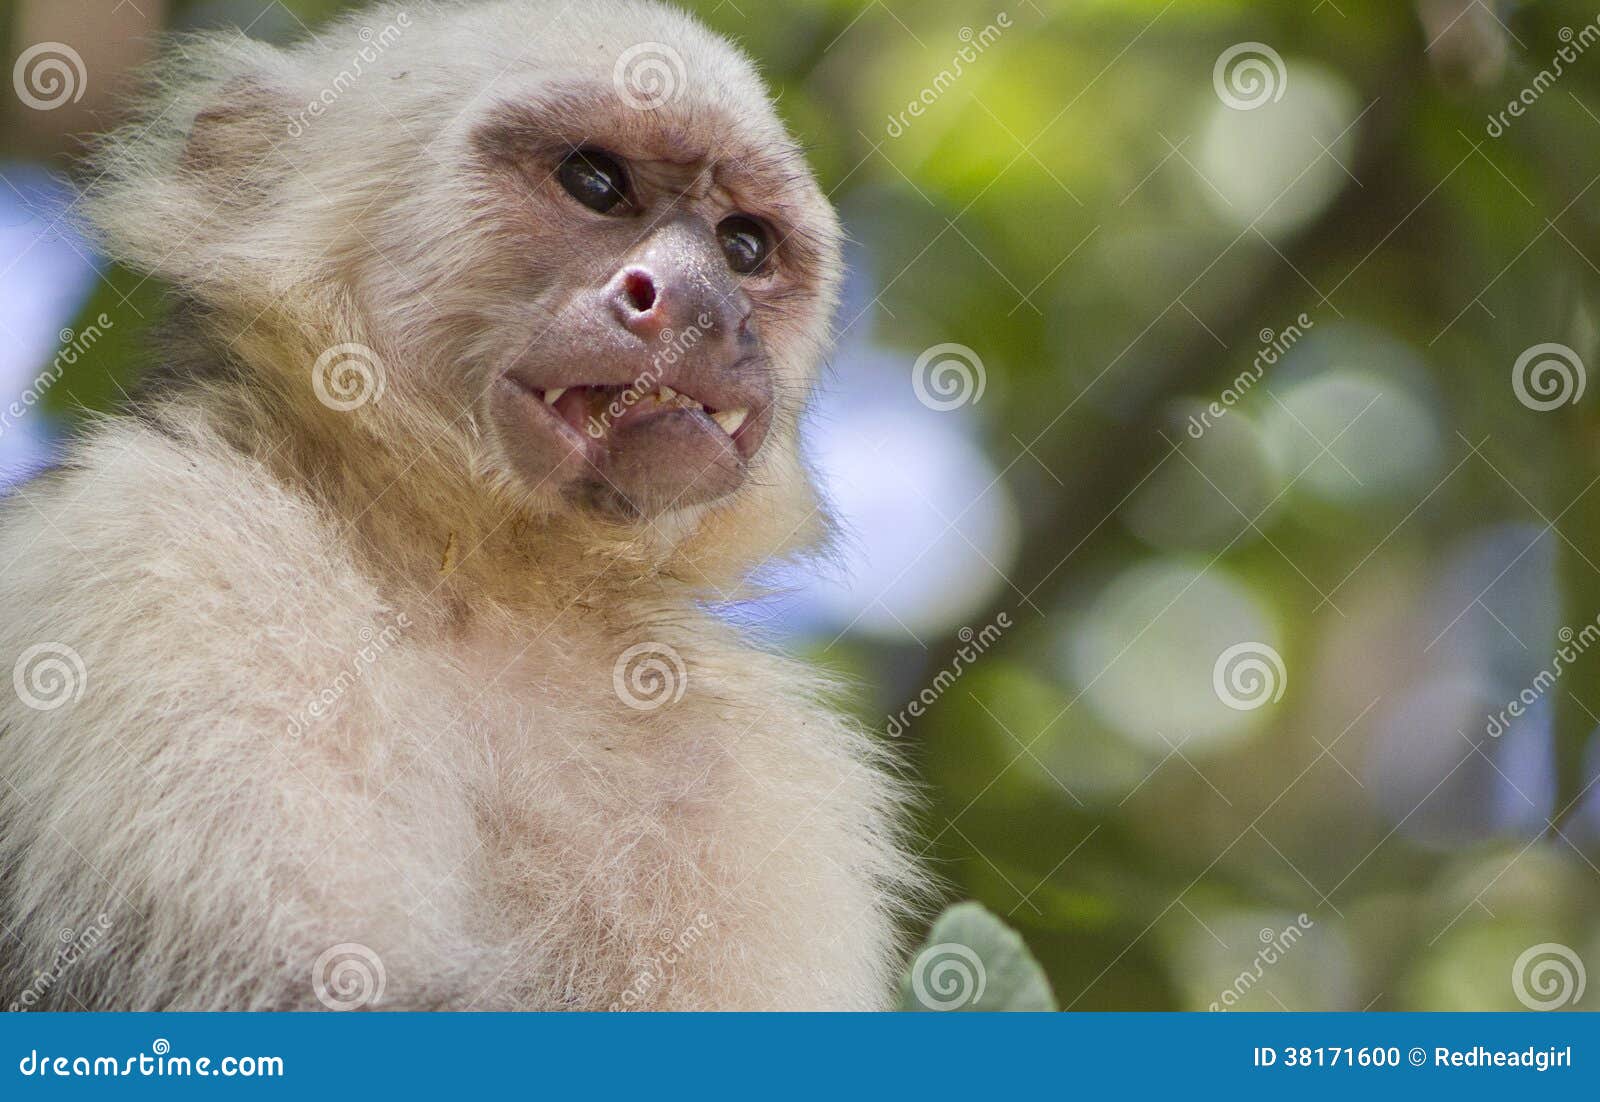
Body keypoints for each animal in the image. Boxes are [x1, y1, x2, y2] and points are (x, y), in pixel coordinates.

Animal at [0, 0, 924, 1011]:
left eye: (743, 246)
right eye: (595, 182)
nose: (696, 302)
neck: (482, 577)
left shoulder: (766, 773)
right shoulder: (156, 545)